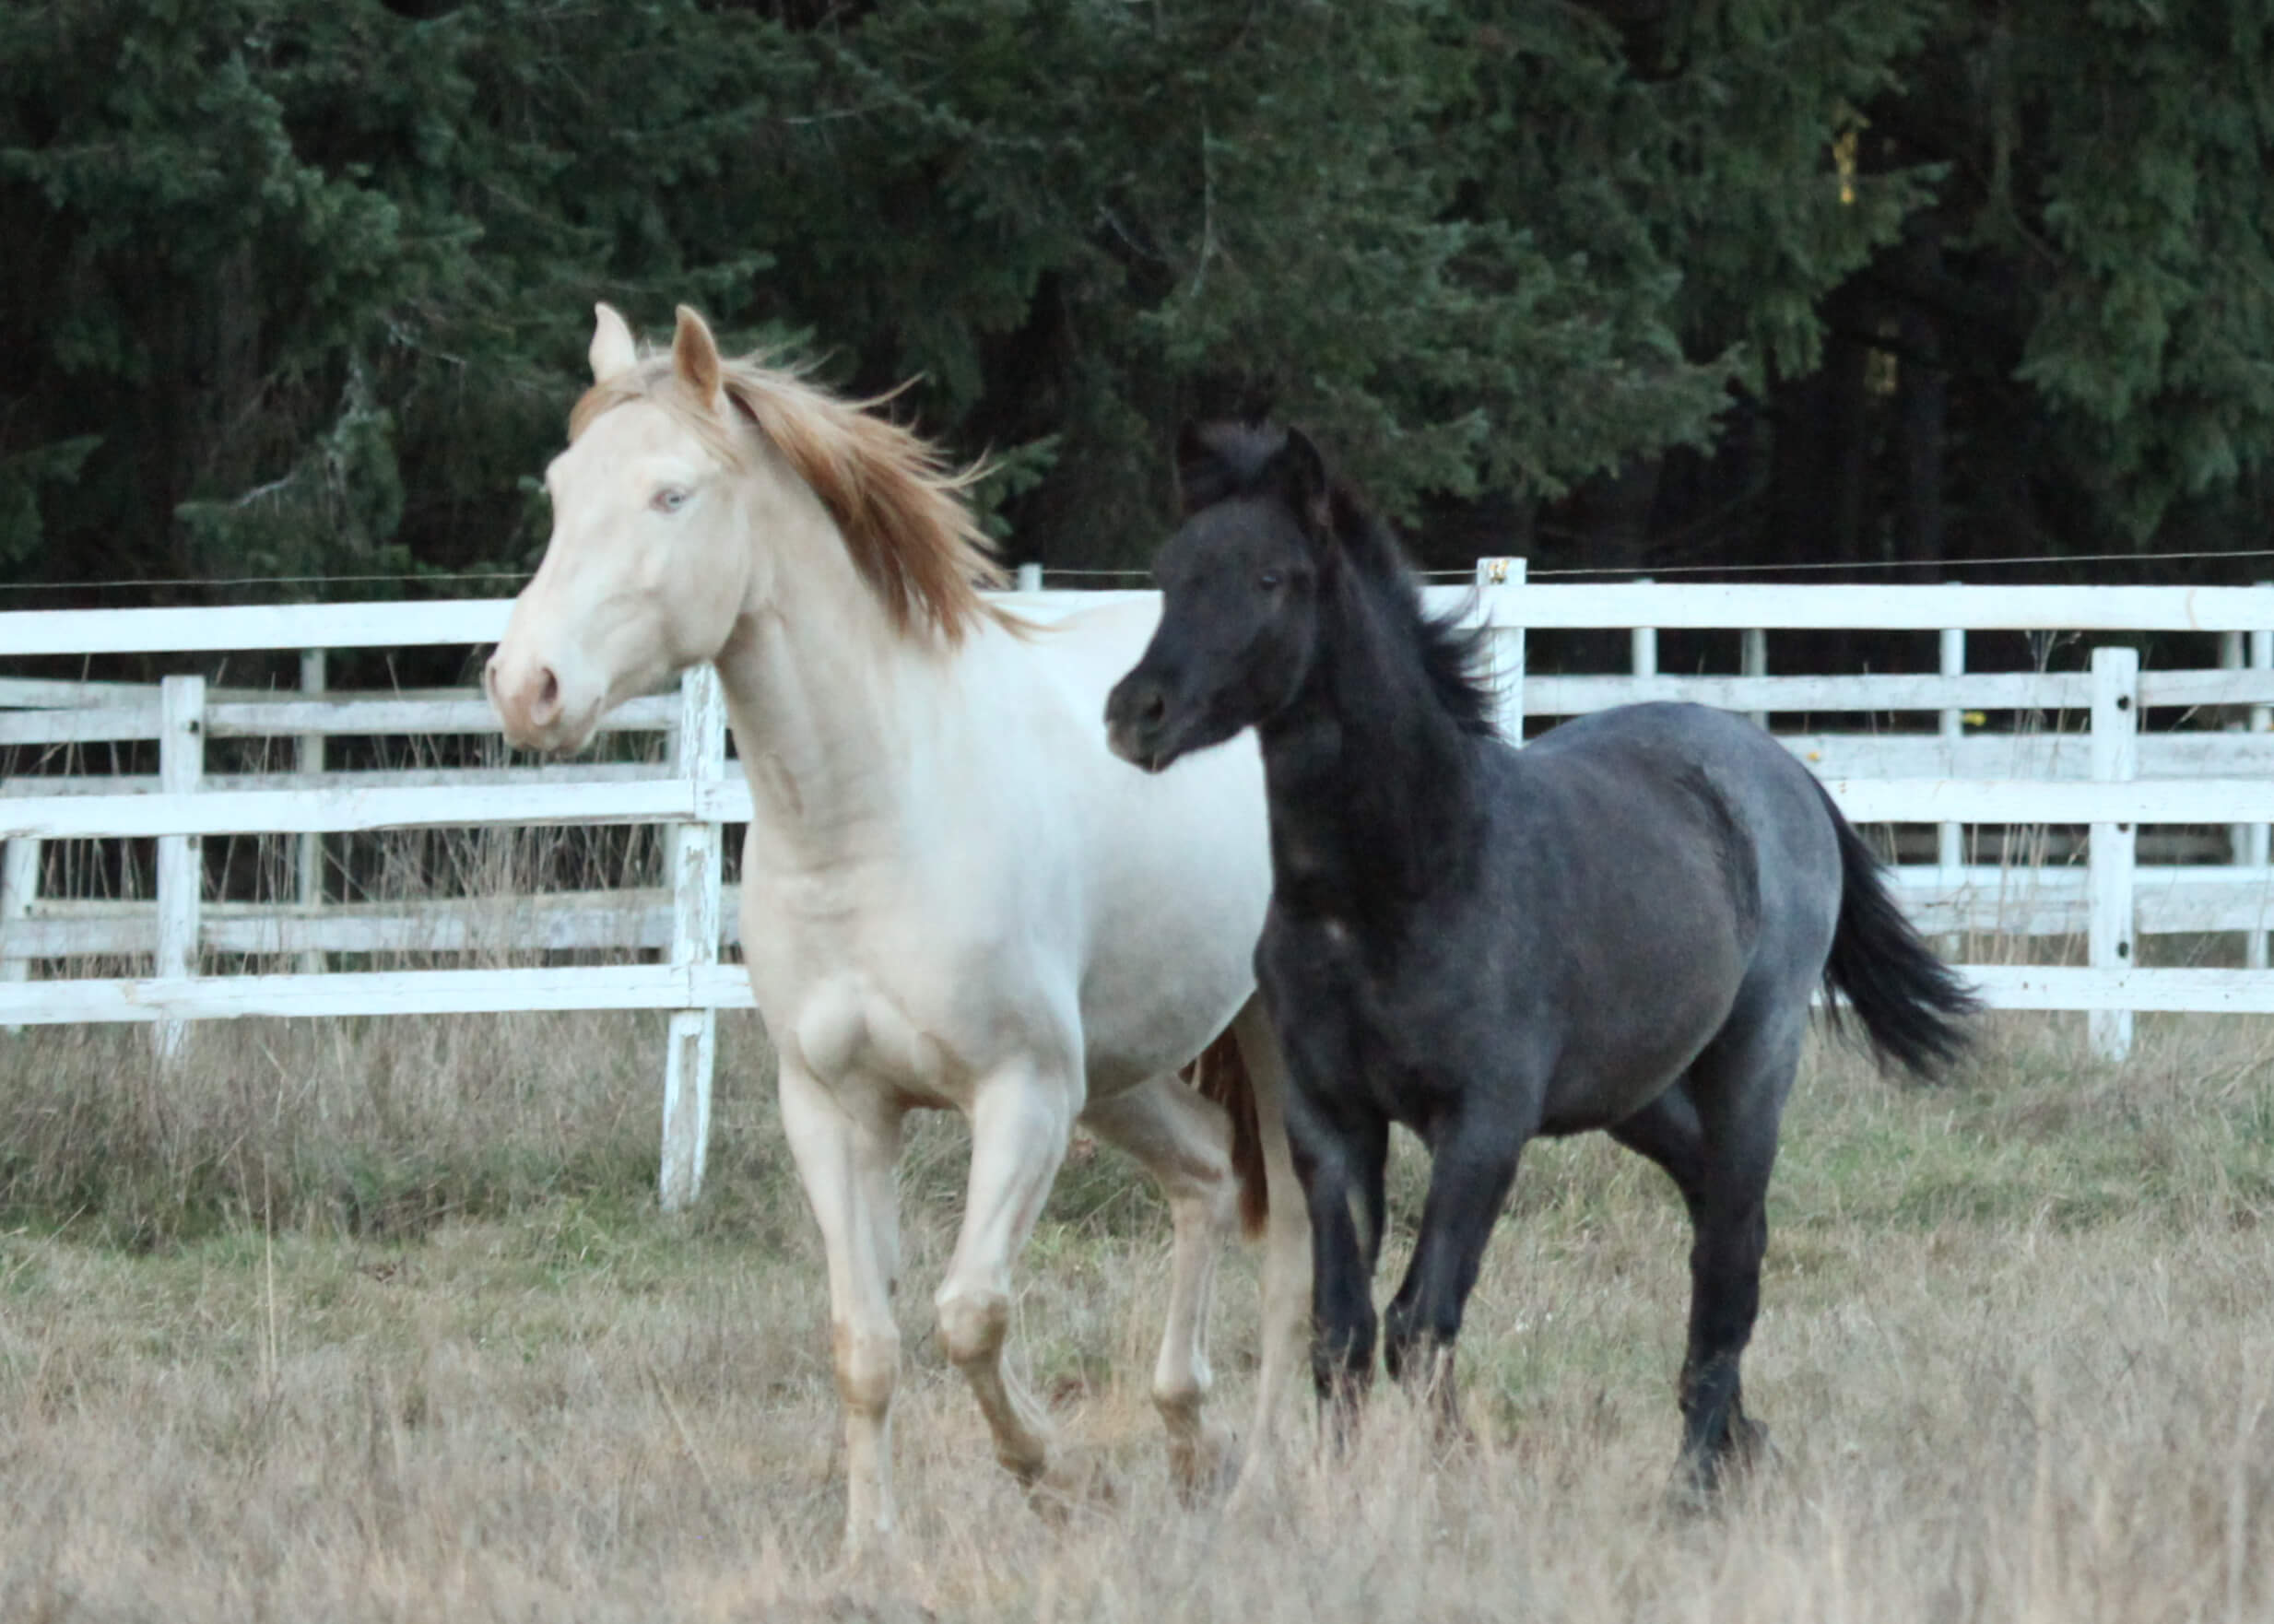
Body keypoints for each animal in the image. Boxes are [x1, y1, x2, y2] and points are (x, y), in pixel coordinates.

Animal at [485, 307, 1312, 1558]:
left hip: (1253, 1040)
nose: (524, 686)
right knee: (1209, 1171)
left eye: (672, 494)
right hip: (1120, 1071)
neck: (876, 814)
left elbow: (969, 1315)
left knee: (1295, 1242)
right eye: (558, 486)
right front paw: (871, 1550)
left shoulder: (1021, 1096)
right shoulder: (834, 1108)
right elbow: (863, 1347)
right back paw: (1185, 1439)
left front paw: (1053, 1471)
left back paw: (1260, 1482)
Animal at [1103, 421, 1977, 1496]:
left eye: (1270, 577)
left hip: (1751, 1060)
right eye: (1168, 573)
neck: (1398, 884)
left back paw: (1694, 1479)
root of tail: (1777, 770)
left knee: (1726, 1252)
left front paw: (1440, 1484)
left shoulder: (1484, 1122)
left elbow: (1421, 1321)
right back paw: (1737, 1439)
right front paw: (1338, 1497)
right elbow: (1342, 1329)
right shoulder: (1329, 1120)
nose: (1134, 712)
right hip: (1638, 1092)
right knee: (1723, 1217)